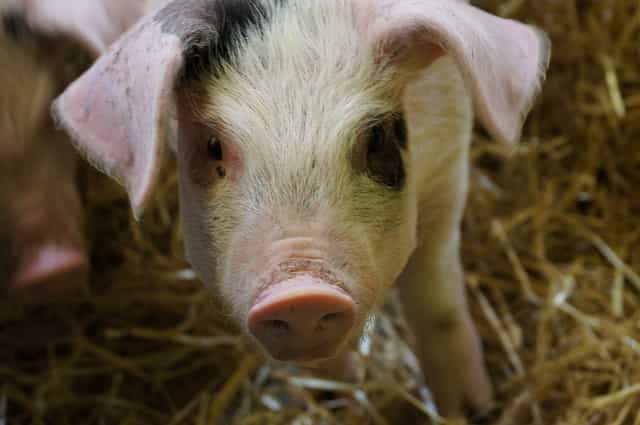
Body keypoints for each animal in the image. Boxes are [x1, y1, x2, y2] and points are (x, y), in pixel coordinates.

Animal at [53, 0, 550, 417]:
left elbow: (436, 293)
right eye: (213, 147)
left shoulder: (447, 161)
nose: (302, 293)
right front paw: (336, 398)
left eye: (377, 138)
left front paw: (473, 408)